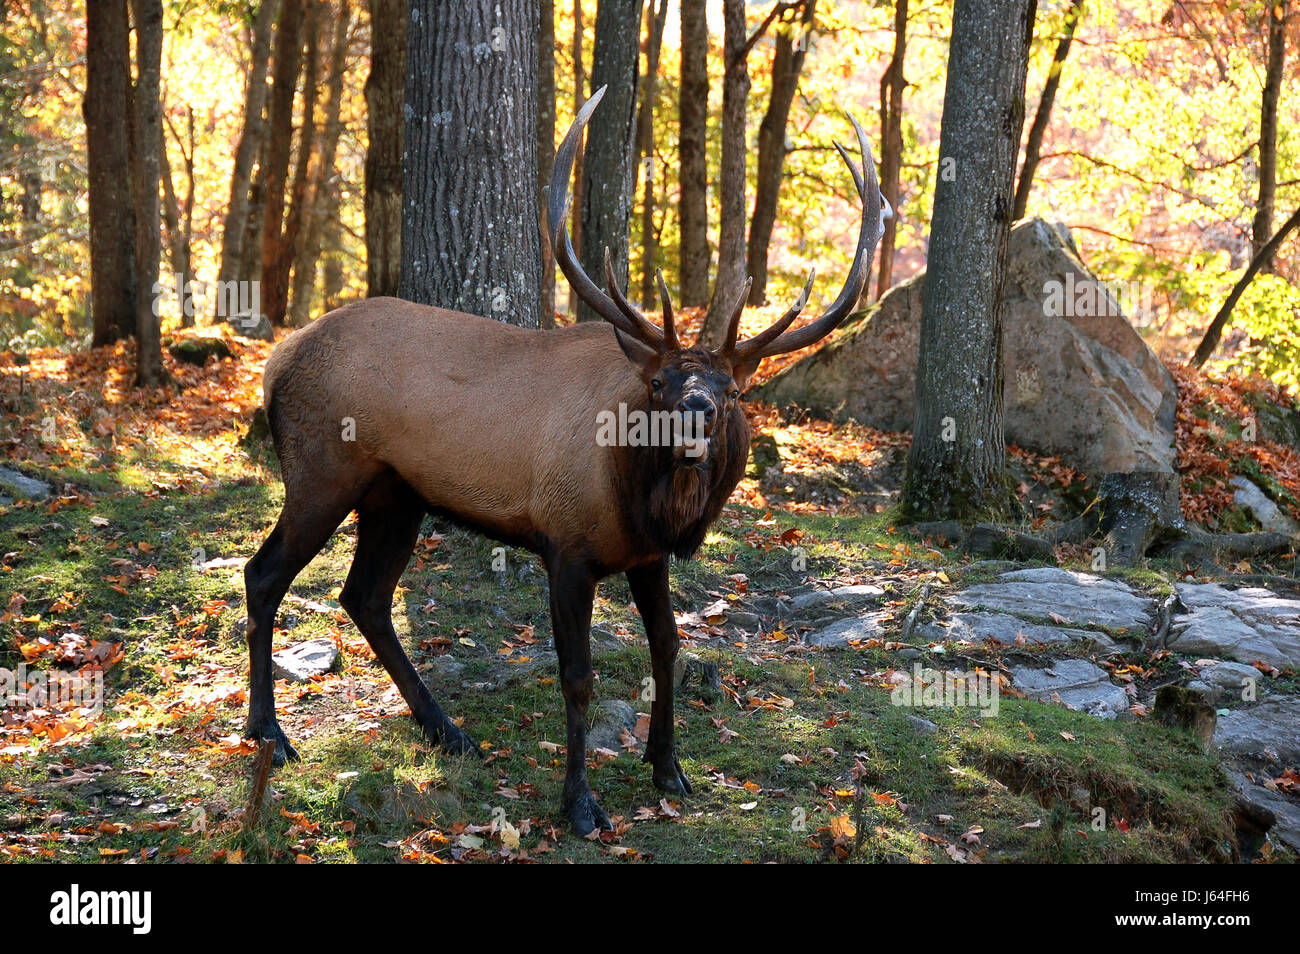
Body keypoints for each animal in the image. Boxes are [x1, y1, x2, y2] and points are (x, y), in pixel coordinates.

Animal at [242, 85, 886, 835]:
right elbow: (577, 676)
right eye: (659, 383)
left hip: (396, 494)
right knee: (265, 574)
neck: (633, 498)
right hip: (321, 472)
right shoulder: (566, 545)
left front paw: (668, 768)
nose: (694, 416)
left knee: (364, 596)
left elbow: (668, 645)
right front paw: (581, 802)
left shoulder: (647, 555)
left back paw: (446, 730)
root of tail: (276, 363)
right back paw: (269, 732)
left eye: (732, 391)